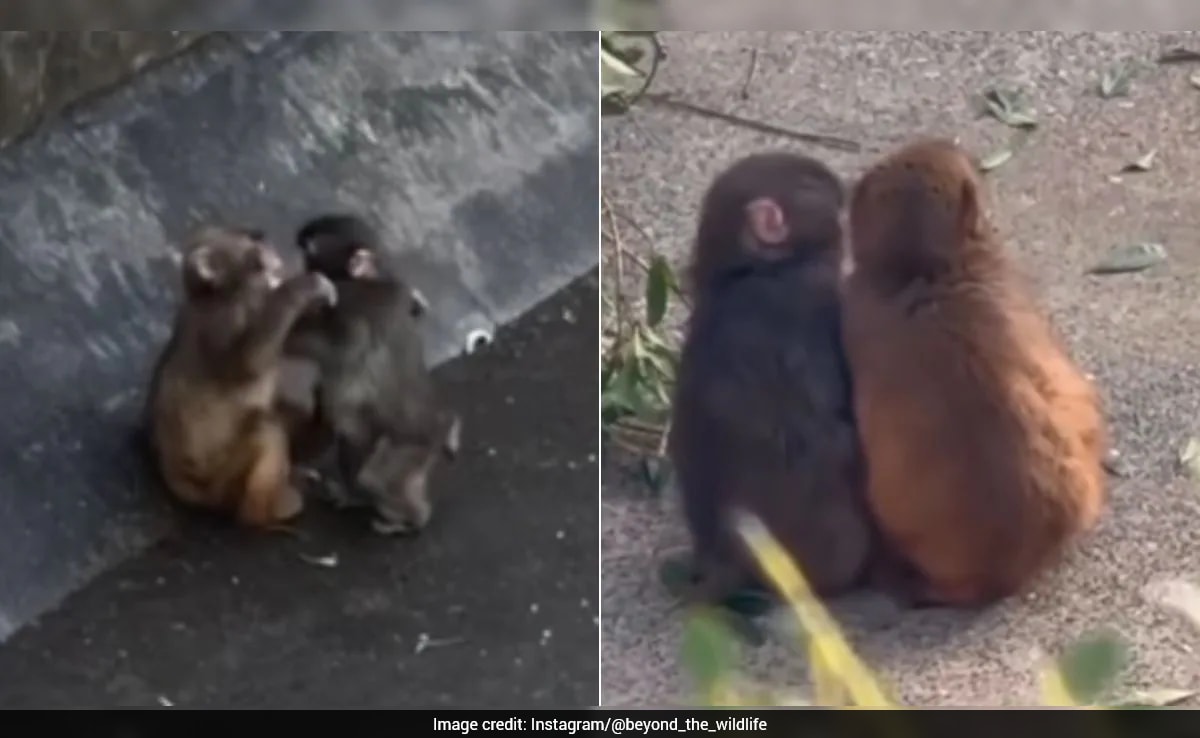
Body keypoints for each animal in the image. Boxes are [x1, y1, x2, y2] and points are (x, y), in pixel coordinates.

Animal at [146, 225, 338, 528]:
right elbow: (247, 363)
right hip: (221, 486)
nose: (272, 253)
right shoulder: (224, 318)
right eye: (255, 255)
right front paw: (304, 288)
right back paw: (264, 514)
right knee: (266, 431)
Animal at [283, 213, 461, 536]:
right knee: (355, 441)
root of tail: (436, 430)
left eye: (310, 252)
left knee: (375, 475)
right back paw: (357, 497)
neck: (370, 280)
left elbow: (320, 345)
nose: (303, 268)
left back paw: (410, 520)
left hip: (409, 449)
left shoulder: (351, 307)